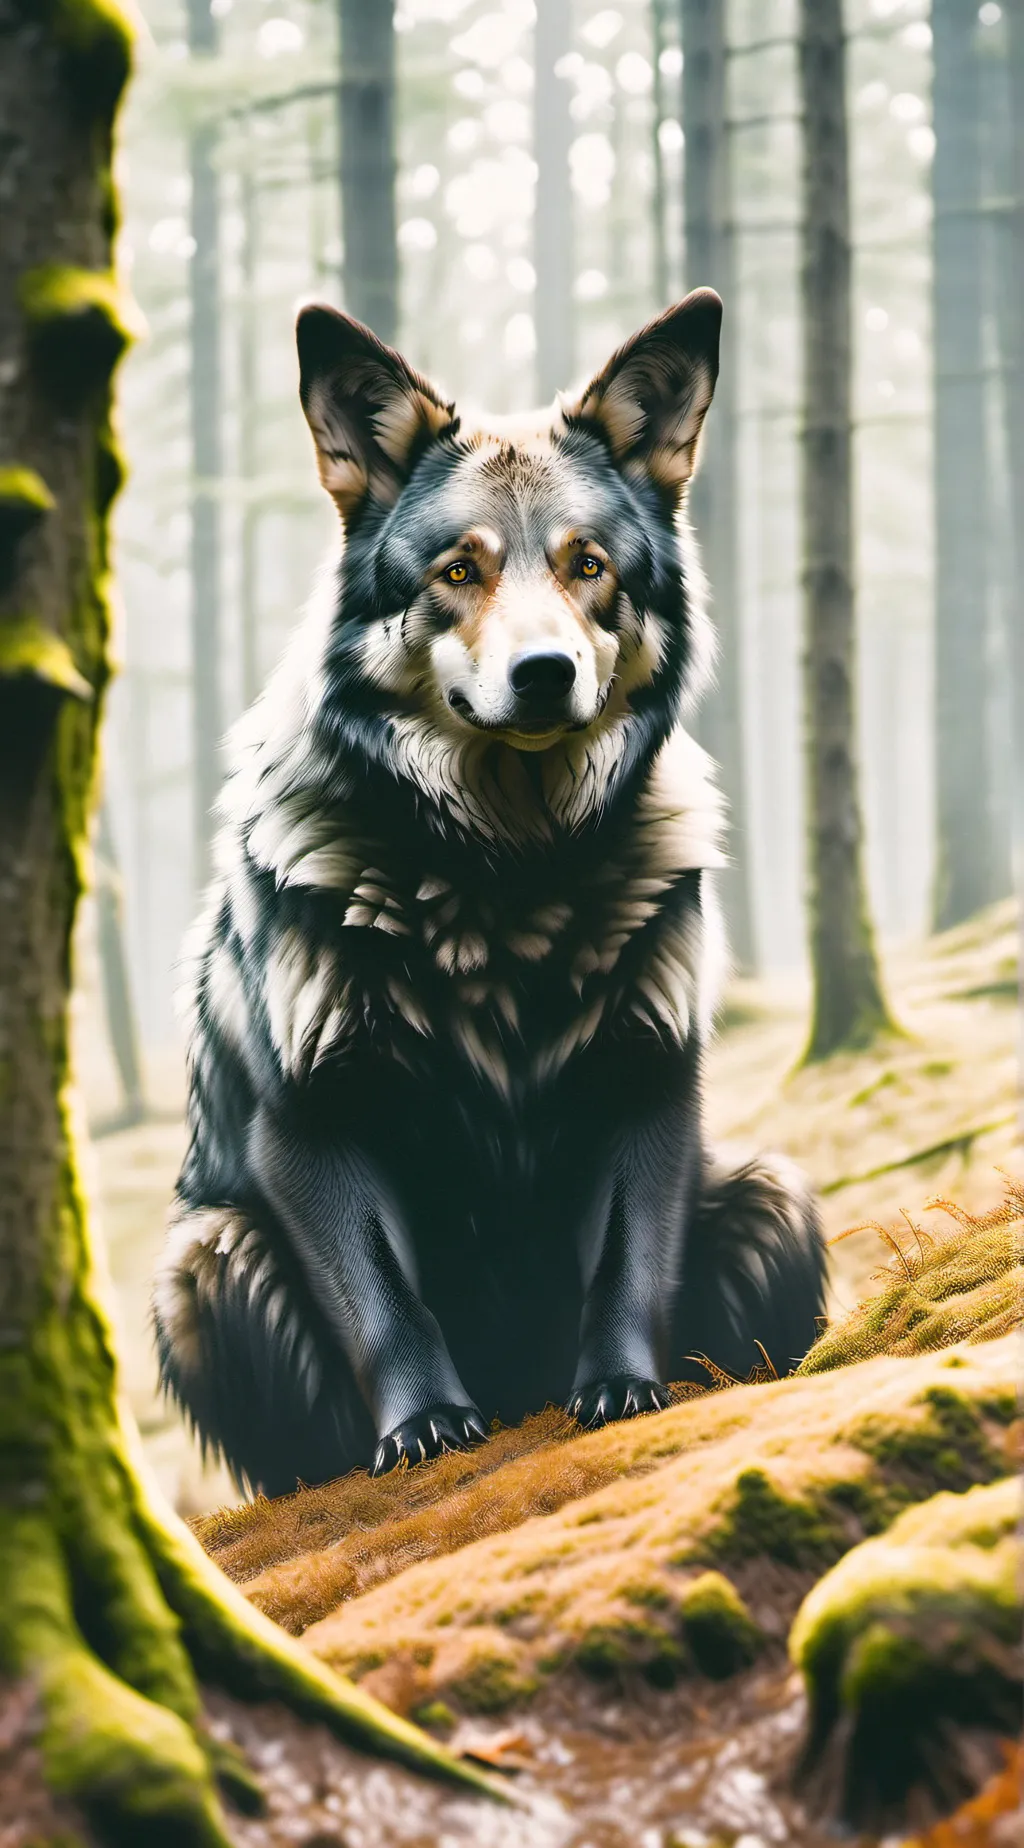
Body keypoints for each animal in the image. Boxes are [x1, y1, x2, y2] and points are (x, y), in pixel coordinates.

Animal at [153, 289, 826, 1497]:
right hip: (204, 1261)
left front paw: (620, 1389)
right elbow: (385, 1298)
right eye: (457, 573)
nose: (545, 673)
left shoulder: (650, 1076)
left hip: (774, 1196)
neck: (509, 869)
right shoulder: (310, 1116)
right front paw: (423, 1427)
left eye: (588, 566)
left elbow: (625, 1265)